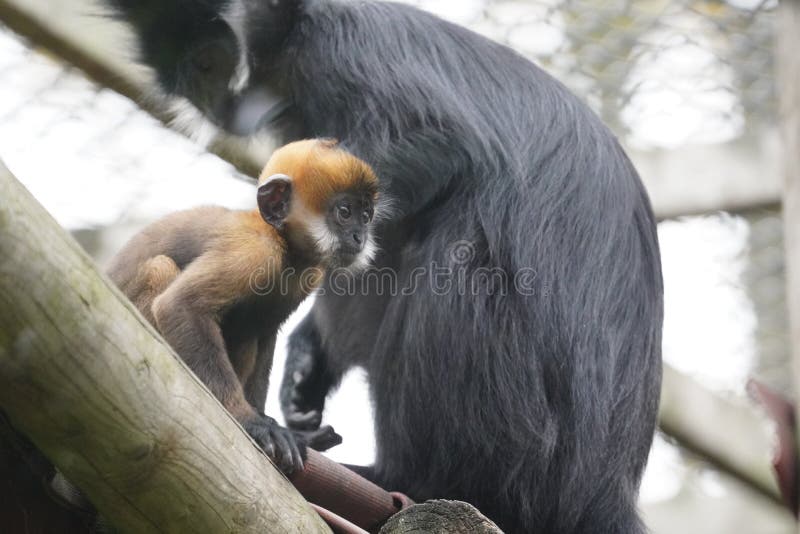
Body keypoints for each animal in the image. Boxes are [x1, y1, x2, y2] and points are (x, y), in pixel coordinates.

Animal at [106, 138, 380, 474]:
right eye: (344, 211)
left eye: (366, 215)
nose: (359, 236)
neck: (284, 245)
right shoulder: (254, 249)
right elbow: (180, 304)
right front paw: (249, 421)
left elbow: (265, 331)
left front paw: (271, 421)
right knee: (161, 268)